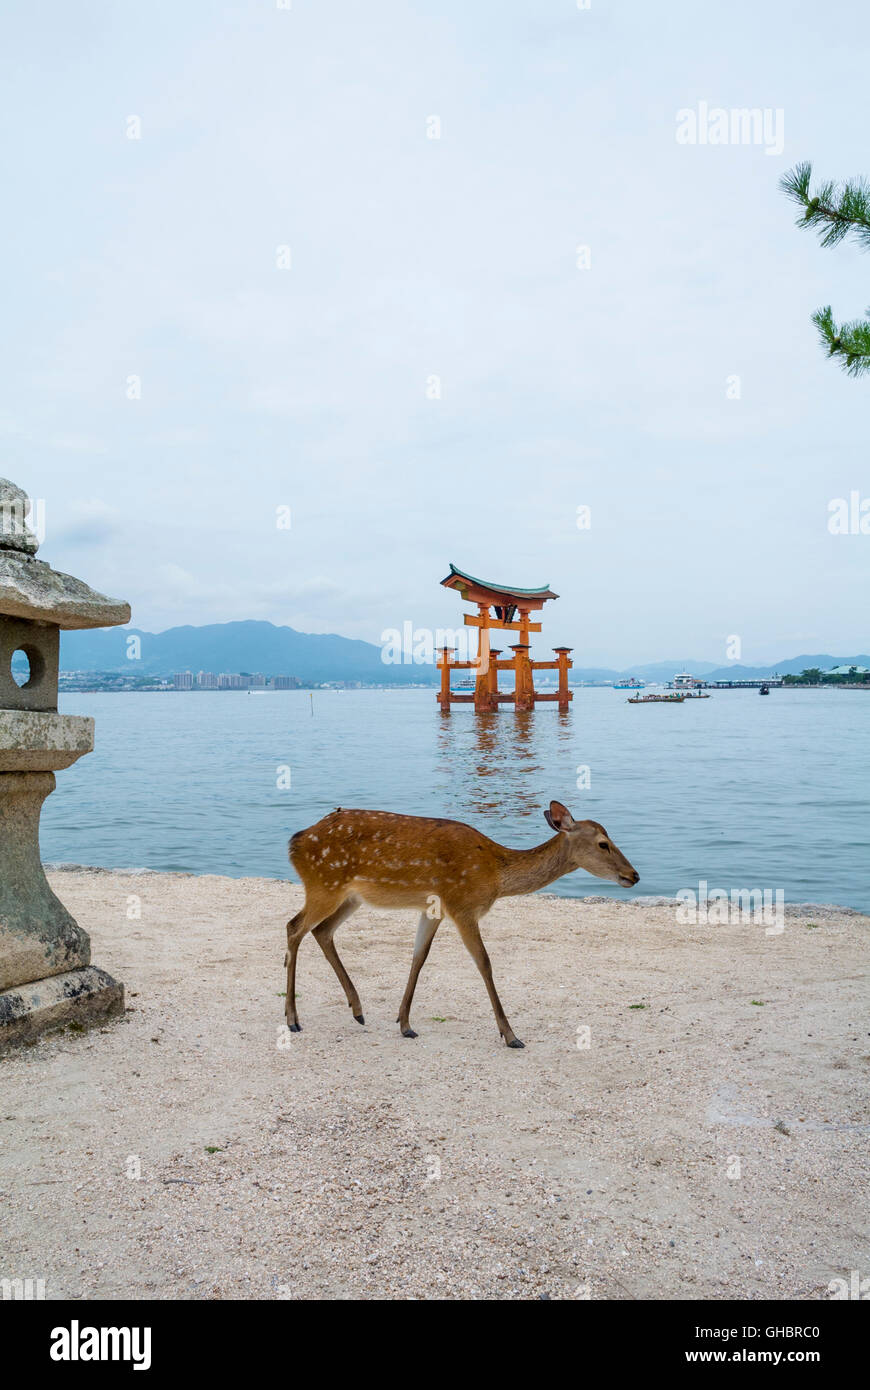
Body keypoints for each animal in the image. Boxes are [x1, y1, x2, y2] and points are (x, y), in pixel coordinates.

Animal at [283, 800, 639, 1048]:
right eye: (603, 843)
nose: (634, 875)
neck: (496, 874)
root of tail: (294, 843)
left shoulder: (434, 909)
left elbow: (419, 957)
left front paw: (405, 1023)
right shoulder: (463, 905)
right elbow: (484, 962)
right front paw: (511, 1035)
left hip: (350, 896)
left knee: (321, 930)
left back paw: (357, 1010)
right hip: (323, 884)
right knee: (294, 927)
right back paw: (292, 1019)